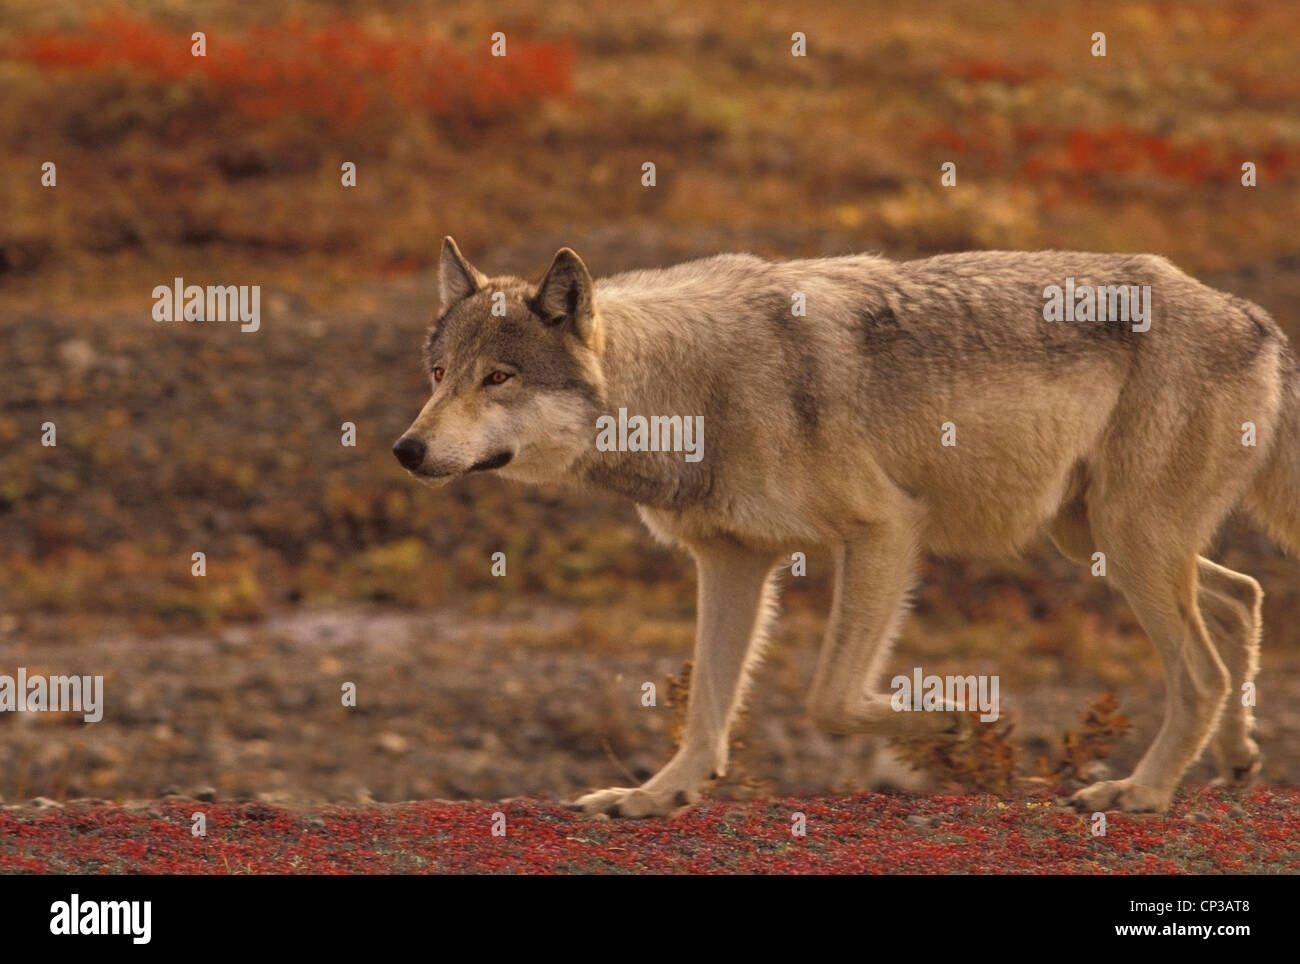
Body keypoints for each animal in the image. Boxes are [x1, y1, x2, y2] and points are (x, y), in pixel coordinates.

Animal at [394, 237, 1300, 817]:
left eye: (499, 378)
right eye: (439, 374)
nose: (407, 449)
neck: (690, 390)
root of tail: (1256, 317)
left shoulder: (885, 529)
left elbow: (827, 698)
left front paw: (951, 721)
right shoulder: (730, 564)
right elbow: (708, 709)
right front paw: (660, 795)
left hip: (1126, 542)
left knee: (1204, 670)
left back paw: (1142, 793)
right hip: (1094, 540)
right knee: (1244, 597)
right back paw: (1235, 758)